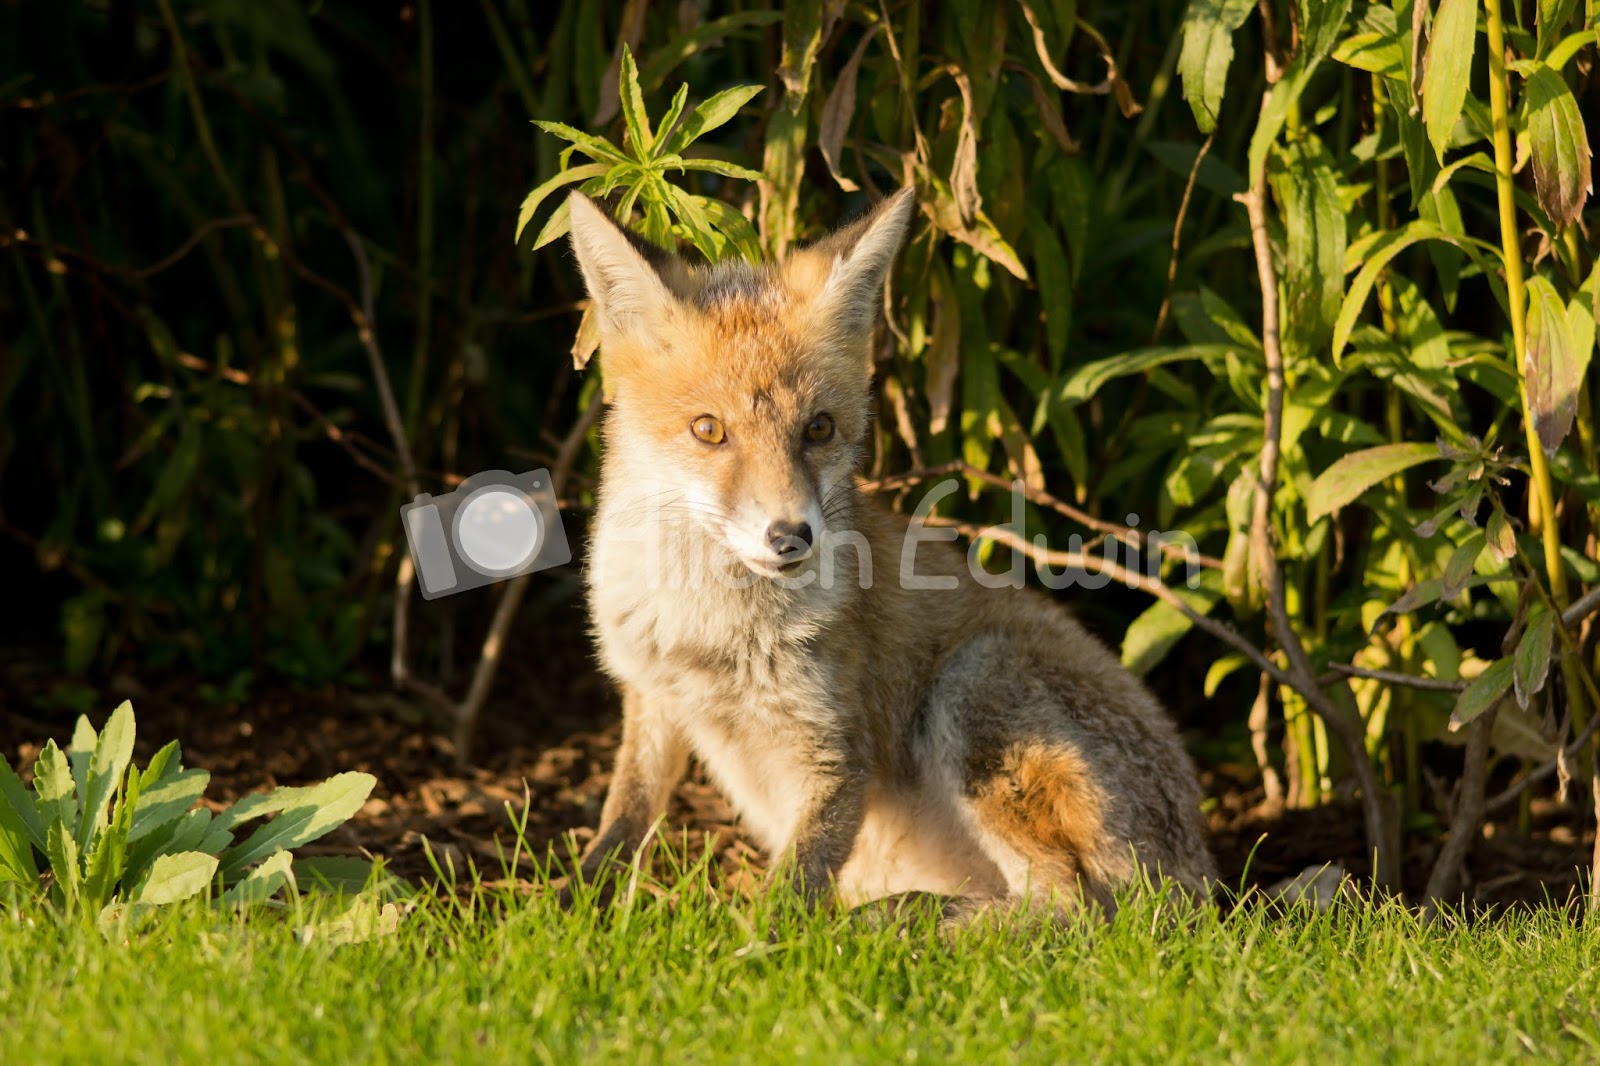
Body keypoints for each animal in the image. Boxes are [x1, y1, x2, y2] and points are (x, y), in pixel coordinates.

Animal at [563, 186, 1216, 921]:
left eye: (819, 429)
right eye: (708, 430)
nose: (790, 536)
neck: (708, 632)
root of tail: (1205, 878)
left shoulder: (834, 749)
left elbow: (793, 891)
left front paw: (759, 943)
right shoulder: (654, 699)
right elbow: (622, 821)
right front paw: (570, 912)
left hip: (972, 687)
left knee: (1071, 909)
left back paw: (896, 922)